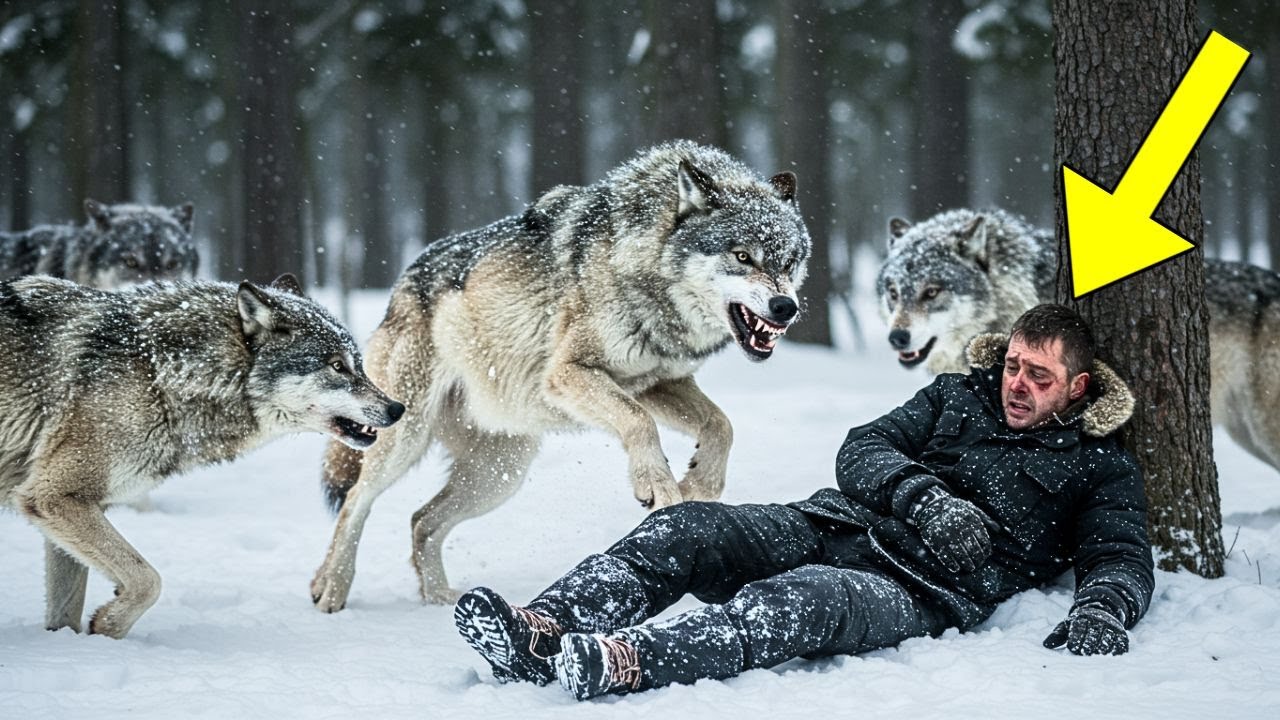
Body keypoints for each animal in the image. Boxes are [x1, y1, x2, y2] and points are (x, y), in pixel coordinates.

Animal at [0, 274, 403, 638]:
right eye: (337, 366)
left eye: (359, 364)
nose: (398, 408)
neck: (158, 370)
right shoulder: (54, 496)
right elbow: (149, 580)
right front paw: (109, 626)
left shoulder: (63, 506)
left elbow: (66, 609)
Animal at [310, 140, 812, 610]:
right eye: (743, 256)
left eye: (788, 262)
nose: (786, 308)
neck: (641, 266)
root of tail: (401, 281)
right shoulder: (570, 375)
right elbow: (639, 424)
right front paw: (659, 488)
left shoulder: (657, 383)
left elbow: (721, 426)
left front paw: (698, 484)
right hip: (405, 435)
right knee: (356, 500)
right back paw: (330, 587)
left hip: (500, 475)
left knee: (421, 521)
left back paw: (439, 597)